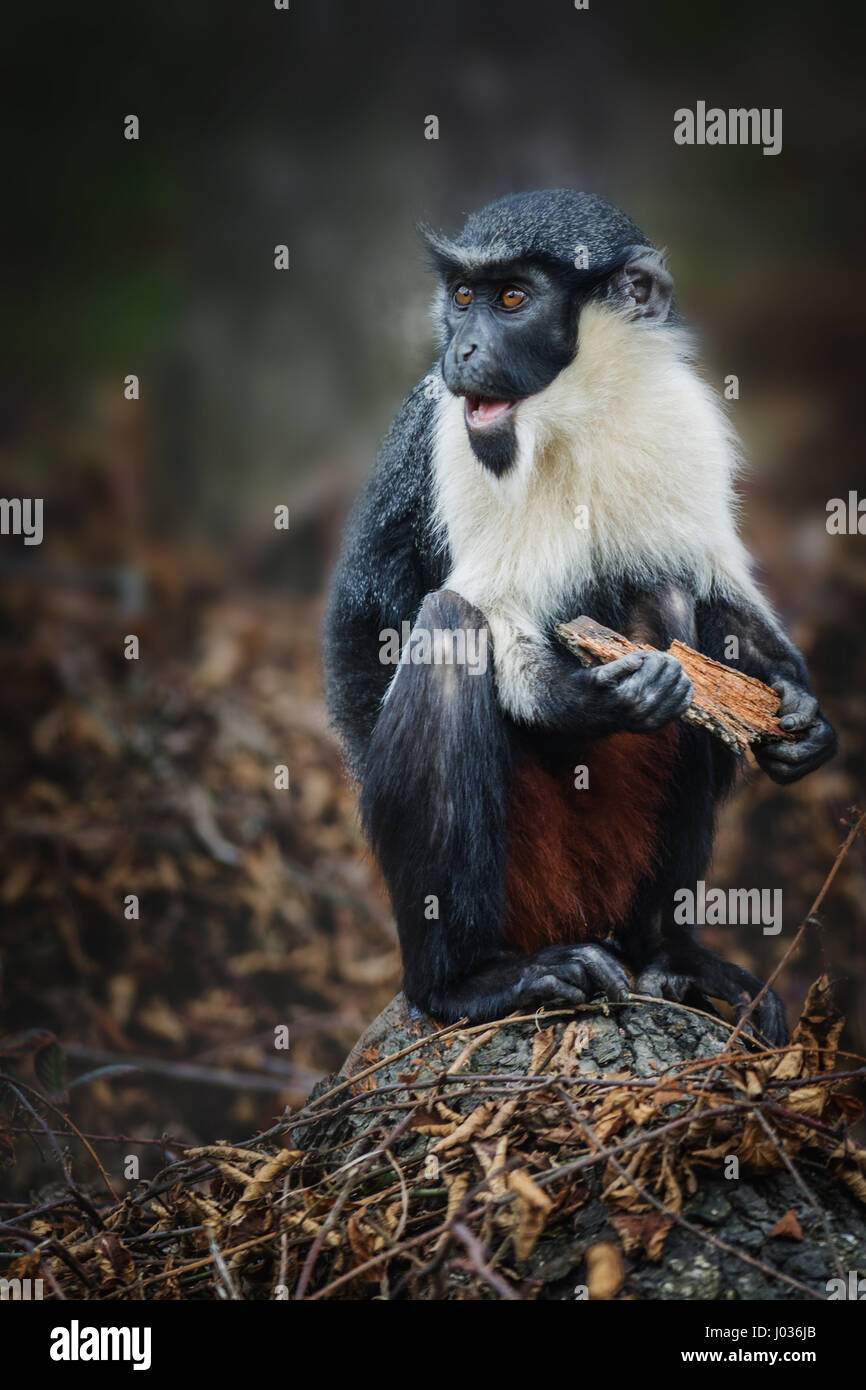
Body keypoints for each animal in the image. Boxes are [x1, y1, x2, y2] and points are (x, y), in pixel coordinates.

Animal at [323, 190, 837, 1046]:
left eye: (510, 298)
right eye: (462, 295)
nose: (463, 348)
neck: (579, 409)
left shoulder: (680, 416)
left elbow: (711, 583)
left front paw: (800, 714)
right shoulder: (455, 438)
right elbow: (478, 617)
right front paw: (593, 697)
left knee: (668, 592)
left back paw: (667, 952)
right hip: (521, 878)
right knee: (452, 621)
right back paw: (467, 982)